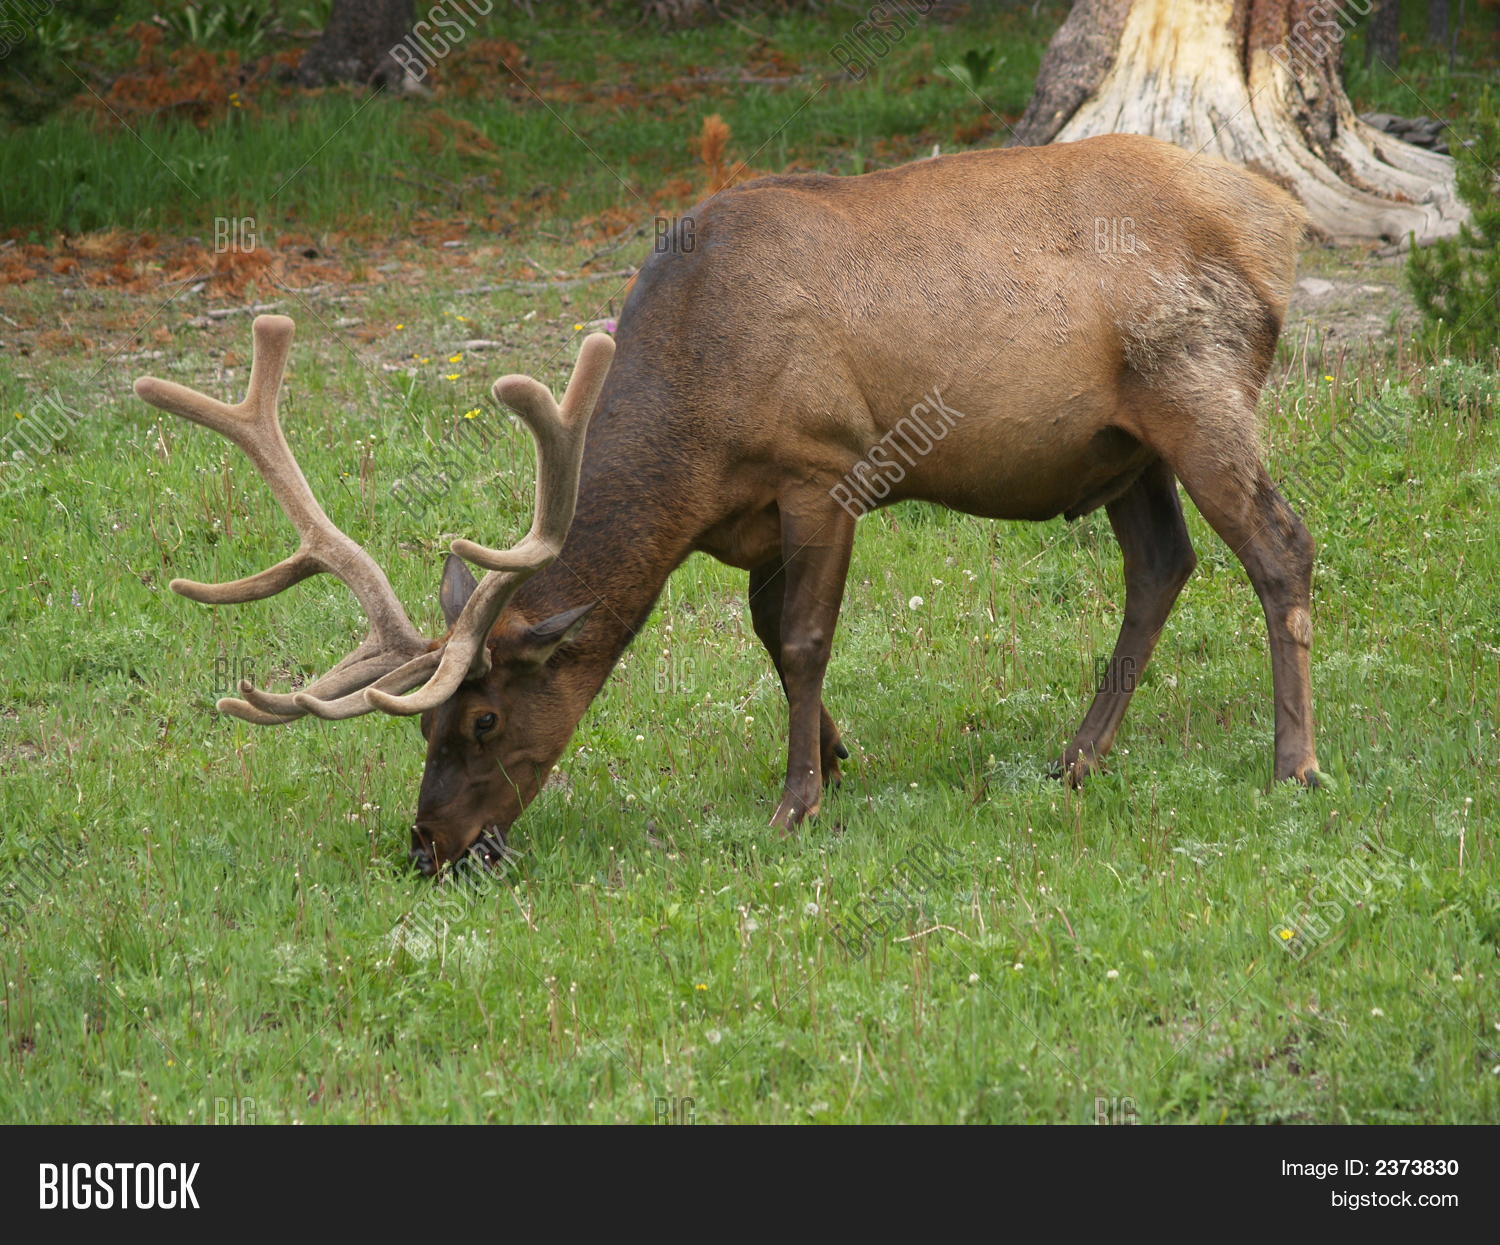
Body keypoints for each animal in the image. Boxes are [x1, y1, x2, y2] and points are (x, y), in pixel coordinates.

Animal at [133, 133, 1322, 876]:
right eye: (419, 726)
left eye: (484, 717)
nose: (428, 845)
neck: (695, 429)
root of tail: (1286, 216)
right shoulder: (744, 521)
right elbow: (762, 632)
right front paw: (834, 758)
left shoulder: (824, 465)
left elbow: (800, 639)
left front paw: (797, 801)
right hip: (1124, 447)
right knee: (1161, 566)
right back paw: (1078, 759)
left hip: (1199, 383)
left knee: (1281, 545)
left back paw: (1293, 762)